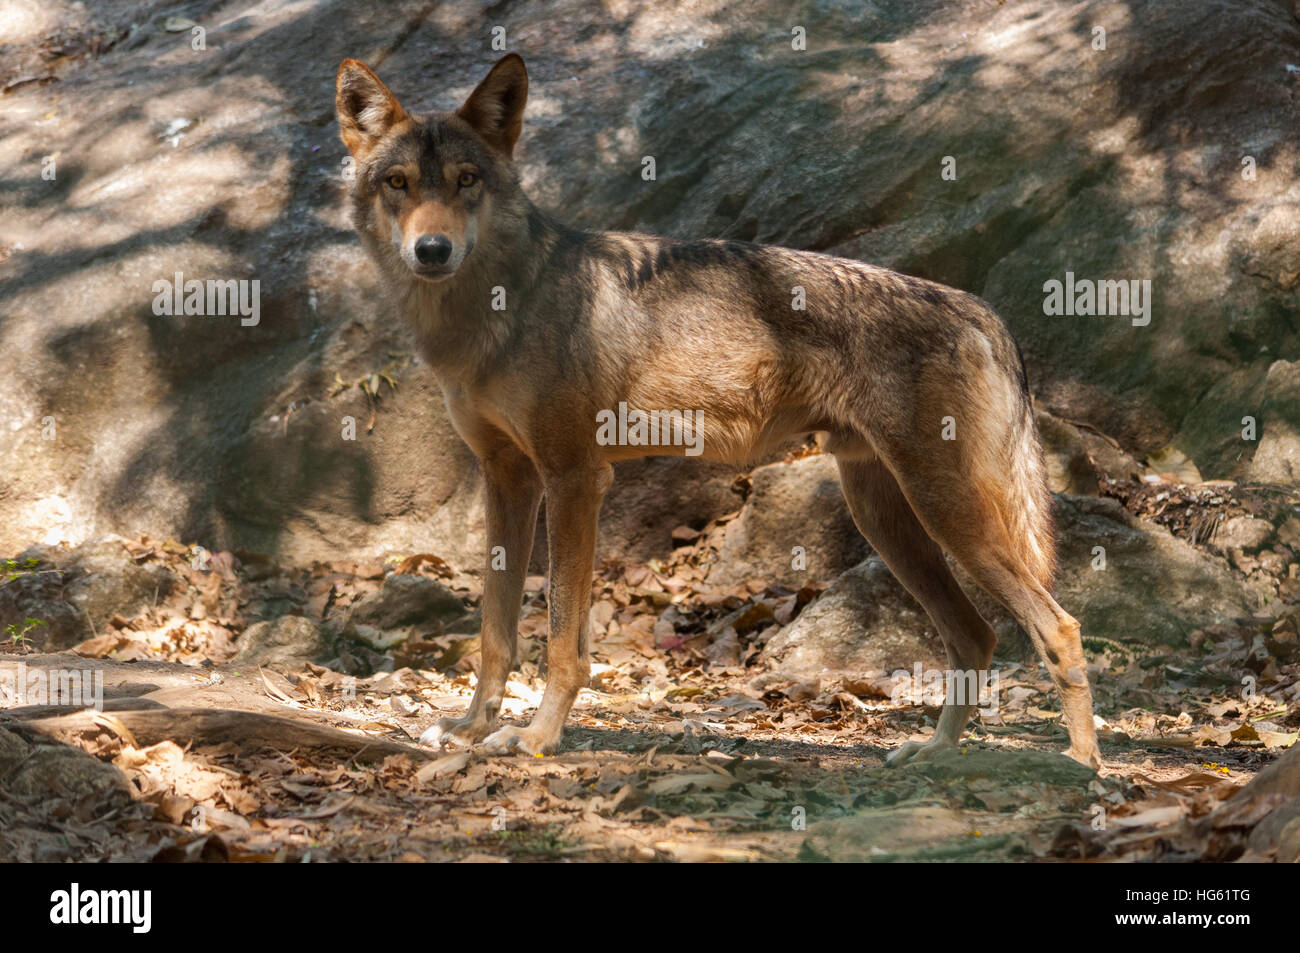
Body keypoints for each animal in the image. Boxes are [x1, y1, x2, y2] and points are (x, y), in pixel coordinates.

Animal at [334, 53, 1101, 769]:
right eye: (399, 184)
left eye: (467, 180)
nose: (432, 250)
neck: (496, 306)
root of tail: (979, 308)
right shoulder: (511, 481)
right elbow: (494, 631)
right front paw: (471, 729)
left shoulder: (575, 479)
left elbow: (560, 642)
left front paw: (537, 739)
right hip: (887, 517)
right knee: (977, 635)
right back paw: (936, 754)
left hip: (944, 512)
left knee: (1057, 628)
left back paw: (1082, 768)